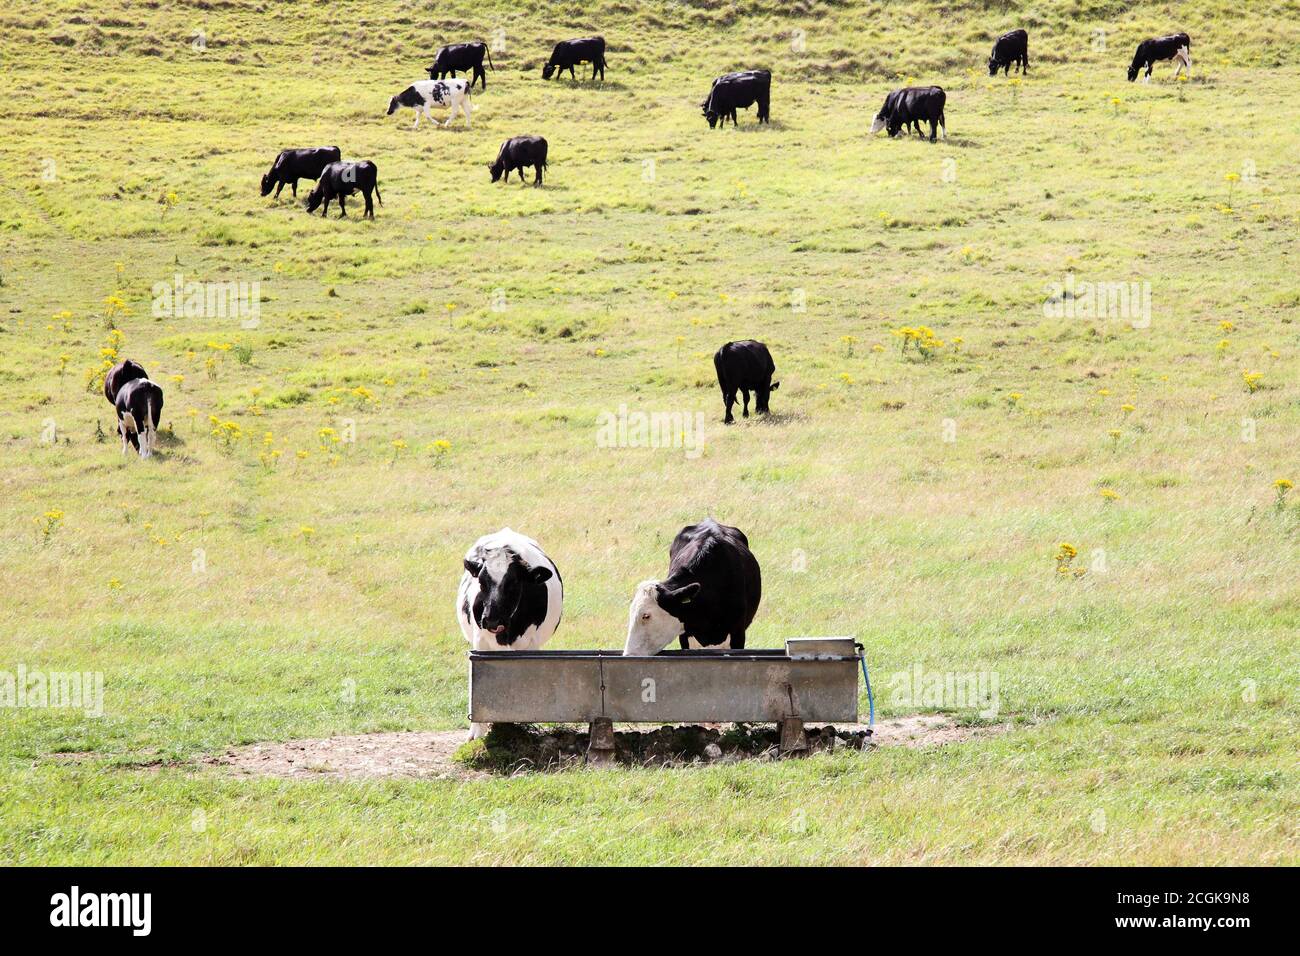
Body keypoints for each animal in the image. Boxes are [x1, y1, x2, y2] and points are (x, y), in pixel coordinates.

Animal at [456, 528, 564, 739]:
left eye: (513, 583)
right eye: (482, 582)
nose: (491, 619)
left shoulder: (530, 645)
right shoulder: (480, 643)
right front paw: (478, 732)